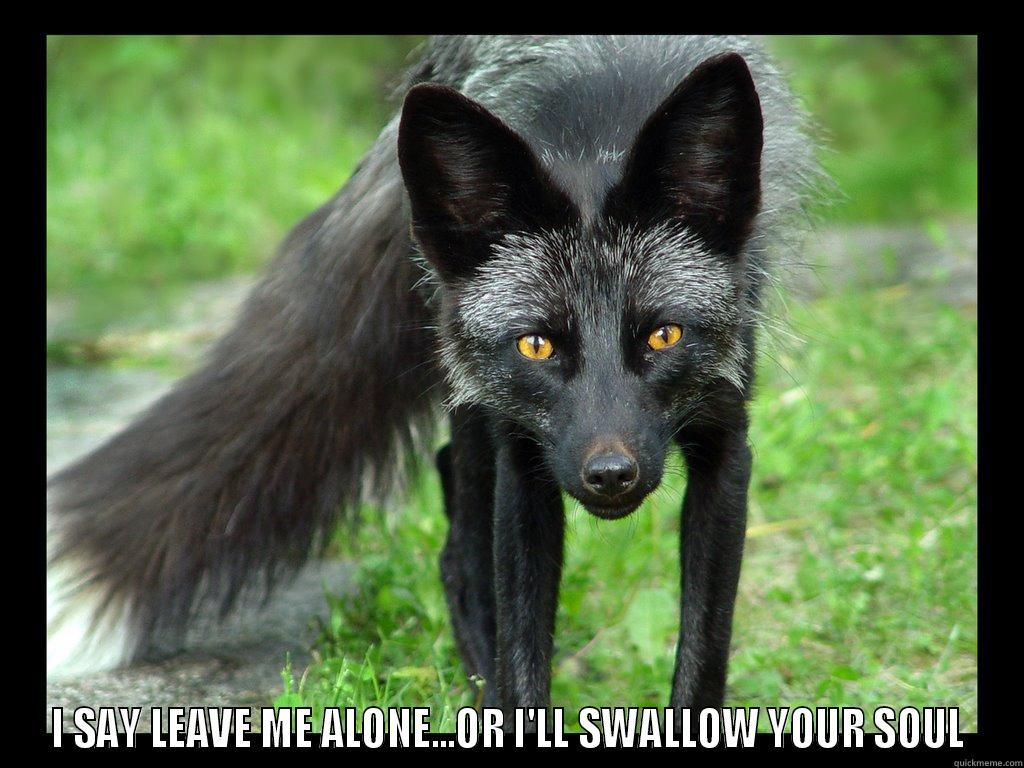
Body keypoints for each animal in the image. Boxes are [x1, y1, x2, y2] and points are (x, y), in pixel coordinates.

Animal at [47, 35, 819, 712]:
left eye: (663, 335)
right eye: (536, 346)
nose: (610, 476)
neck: (601, 120)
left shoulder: (726, 446)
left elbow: (702, 658)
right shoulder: (524, 457)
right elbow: (523, 657)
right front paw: (509, 697)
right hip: (479, 410)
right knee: (459, 538)